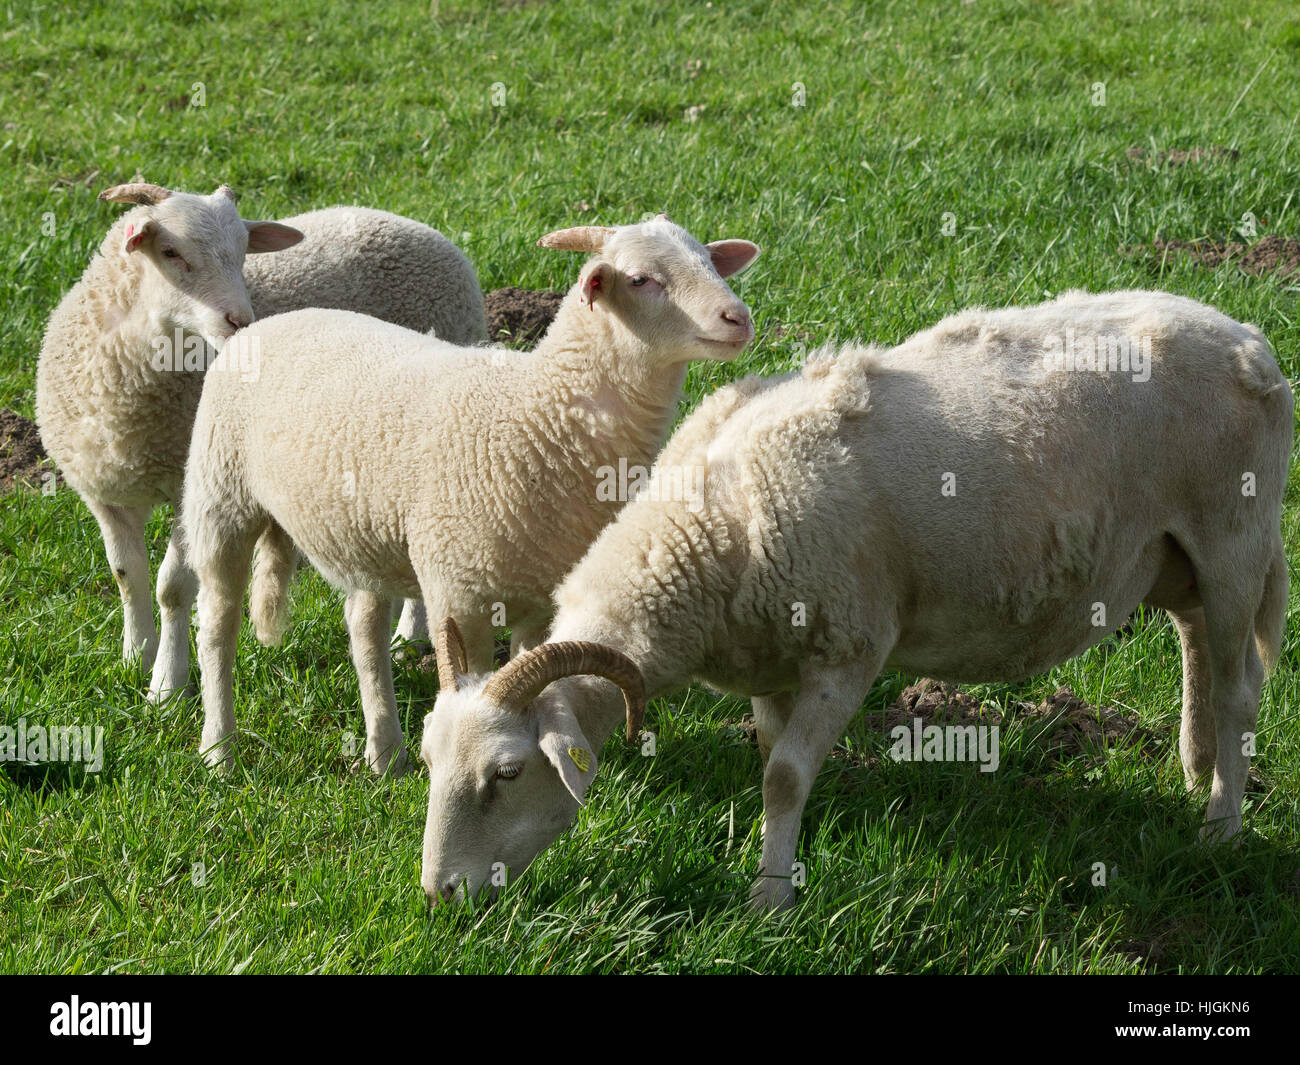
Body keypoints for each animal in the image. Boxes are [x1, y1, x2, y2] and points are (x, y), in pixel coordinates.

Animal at [35, 184, 487, 701]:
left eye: (242, 253)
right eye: (170, 252)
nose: (240, 321)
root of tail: (419, 226)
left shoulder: (193, 483)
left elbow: (172, 587)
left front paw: (167, 686)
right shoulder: (104, 493)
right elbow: (126, 575)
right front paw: (136, 656)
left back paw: (408, 637)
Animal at [183, 215, 761, 776]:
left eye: (710, 261)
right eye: (641, 279)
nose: (739, 318)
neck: (540, 413)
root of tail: (270, 322)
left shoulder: (540, 600)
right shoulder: (457, 594)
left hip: (364, 527)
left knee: (364, 628)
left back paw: (384, 752)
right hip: (220, 494)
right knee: (216, 624)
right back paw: (219, 750)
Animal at [415, 289, 1293, 911]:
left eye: (506, 772)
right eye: (426, 760)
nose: (440, 892)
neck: (713, 529)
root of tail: (1248, 338)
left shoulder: (850, 649)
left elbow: (784, 778)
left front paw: (768, 901)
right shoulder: (768, 659)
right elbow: (774, 760)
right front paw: (775, 871)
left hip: (1235, 537)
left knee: (1240, 687)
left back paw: (1221, 825)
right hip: (1169, 554)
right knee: (1194, 643)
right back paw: (1195, 771)